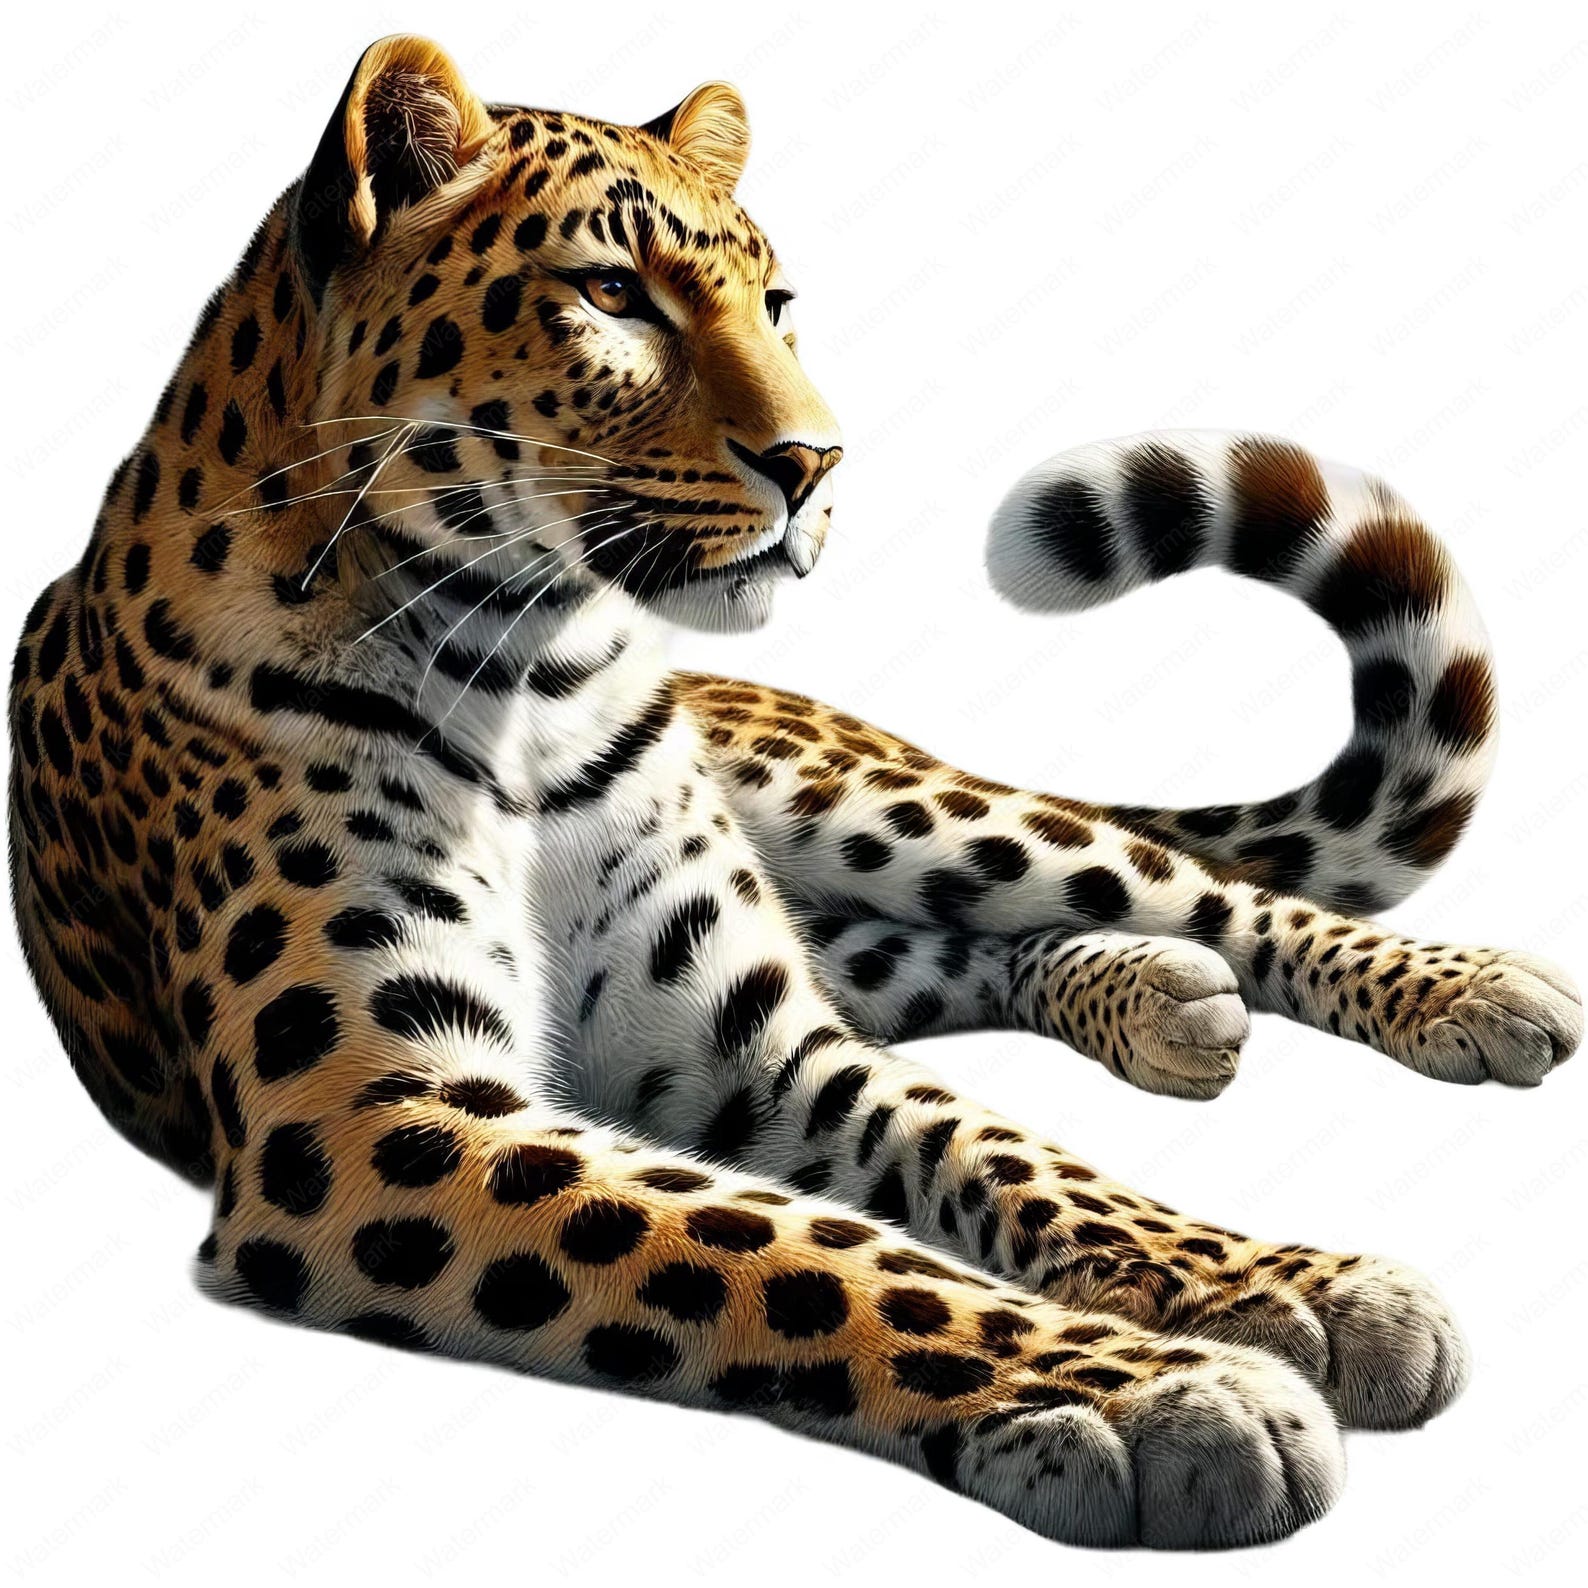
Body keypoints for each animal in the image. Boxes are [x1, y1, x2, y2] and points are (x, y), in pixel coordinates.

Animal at [9, 34, 1582, 1550]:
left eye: (777, 302)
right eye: (611, 294)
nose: (816, 460)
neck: (527, 670)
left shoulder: (758, 1042)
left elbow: (992, 1143)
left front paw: (1287, 1283)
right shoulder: (372, 1115)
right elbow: (786, 1248)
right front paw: (1160, 1394)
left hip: (889, 807)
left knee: (1176, 884)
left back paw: (1460, 989)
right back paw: (1167, 1002)